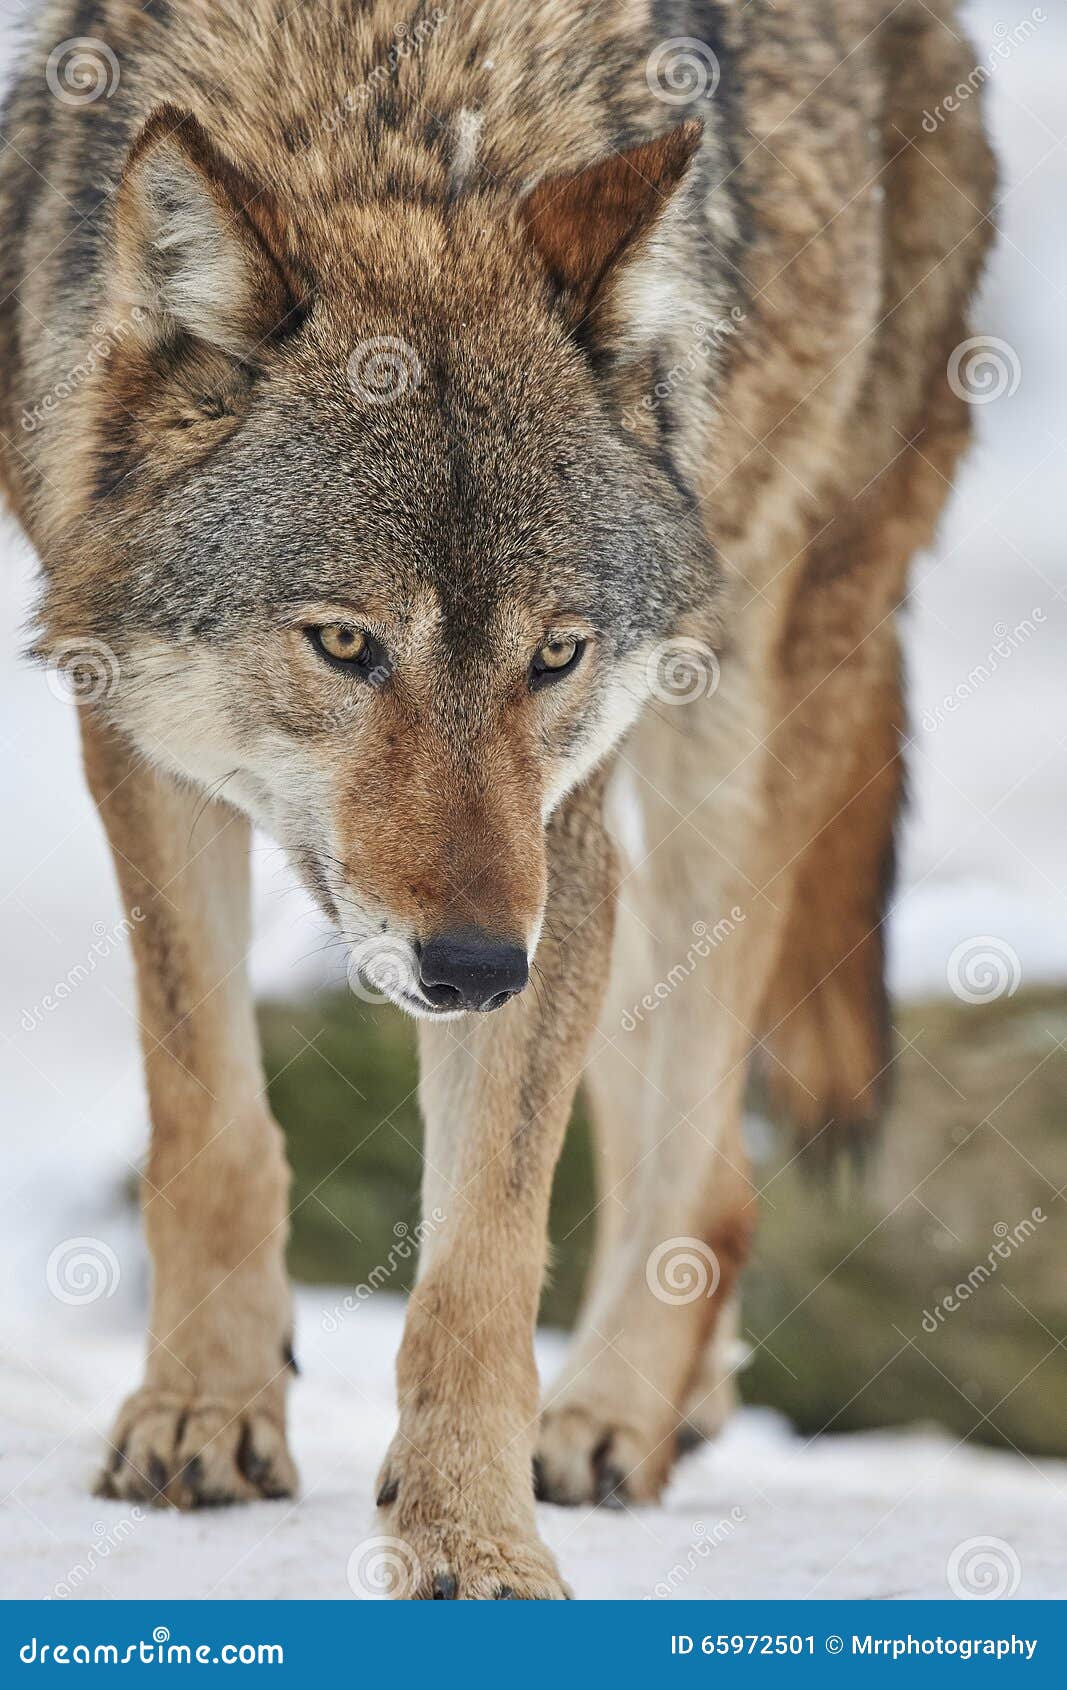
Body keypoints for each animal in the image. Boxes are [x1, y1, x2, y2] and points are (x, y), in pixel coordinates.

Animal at [0, 0, 993, 1597]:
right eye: (346, 644)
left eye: (552, 654)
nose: (470, 970)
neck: (390, 106)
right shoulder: (137, 734)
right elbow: (207, 1123)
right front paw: (204, 1412)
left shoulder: (556, 827)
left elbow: (479, 1259)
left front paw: (468, 1539)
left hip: (740, 701)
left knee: (709, 1160)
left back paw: (613, 1414)